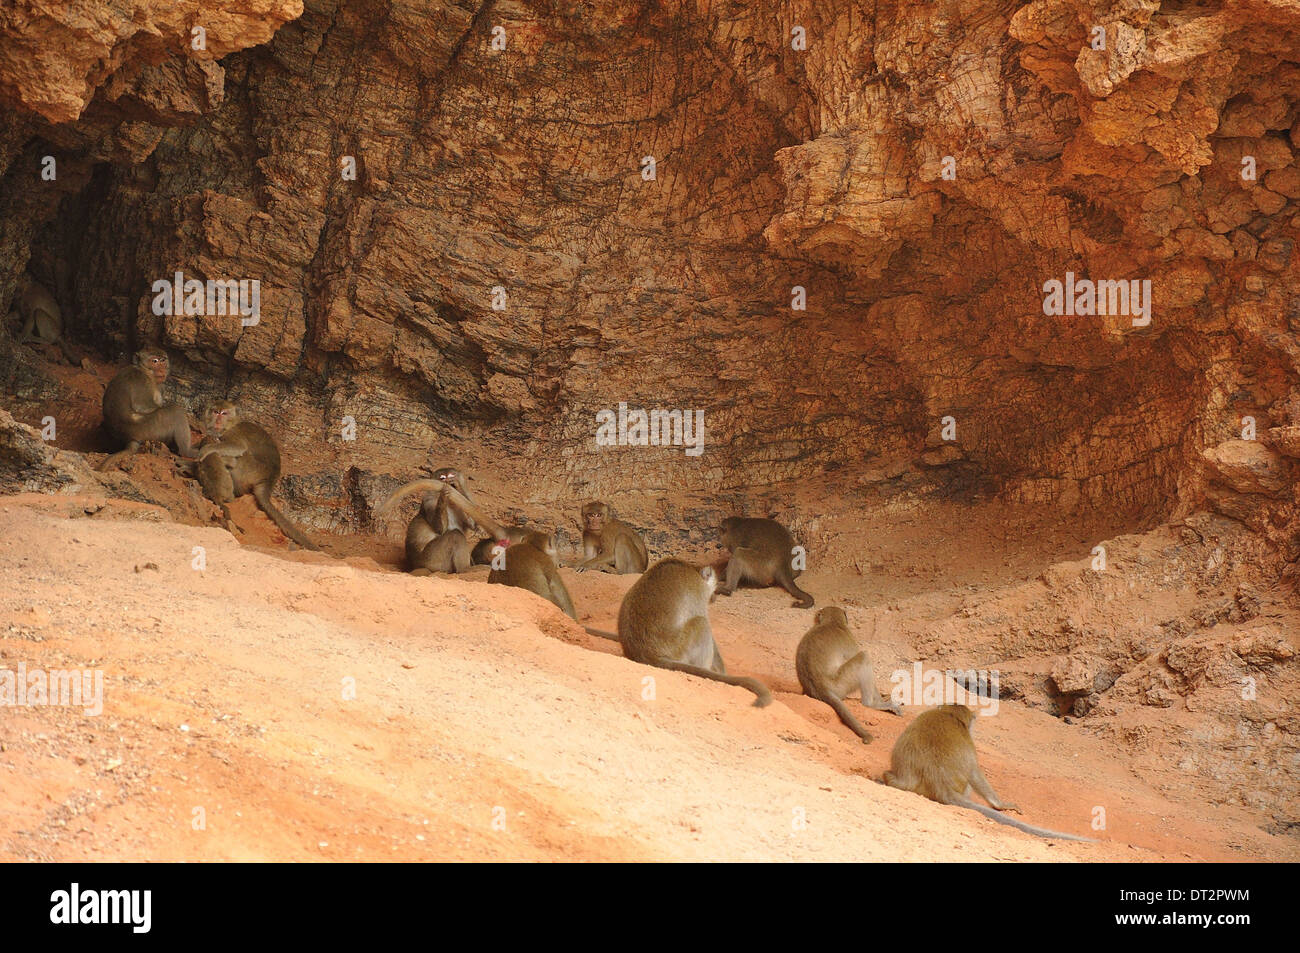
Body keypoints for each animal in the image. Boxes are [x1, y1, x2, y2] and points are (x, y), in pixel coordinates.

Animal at [191, 400, 320, 551]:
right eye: (215, 411)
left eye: (224, 413)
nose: (217, 420)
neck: (231, 424)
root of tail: (269, 480)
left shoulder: (232, 434)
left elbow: (238, 447)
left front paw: (206, 449)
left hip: (249, 469)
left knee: (240, 455)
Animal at [377, 467, 510, 574]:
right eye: (442, 478)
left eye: (451, 476)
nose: (448, 482)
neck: (450, 504)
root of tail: (415, 565)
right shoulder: (429, 502)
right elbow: (440, 530)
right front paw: (443, 496)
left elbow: (473, 525)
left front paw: (457, 487)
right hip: (431, 560)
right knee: (455, 535)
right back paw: (466, 569)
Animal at [617, 558, 771, 707]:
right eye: (713, 589)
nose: (714, 598)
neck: (693, 570)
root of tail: (650, 656)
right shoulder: (698, 591)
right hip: (680, 649)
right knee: (701, 623)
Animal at [795, 606, 900, 743]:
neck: (831, 622)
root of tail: (821, 688)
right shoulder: (849, 639)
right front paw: (882, 701)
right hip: (842, 683)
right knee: (864, 657)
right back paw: (871, 704)